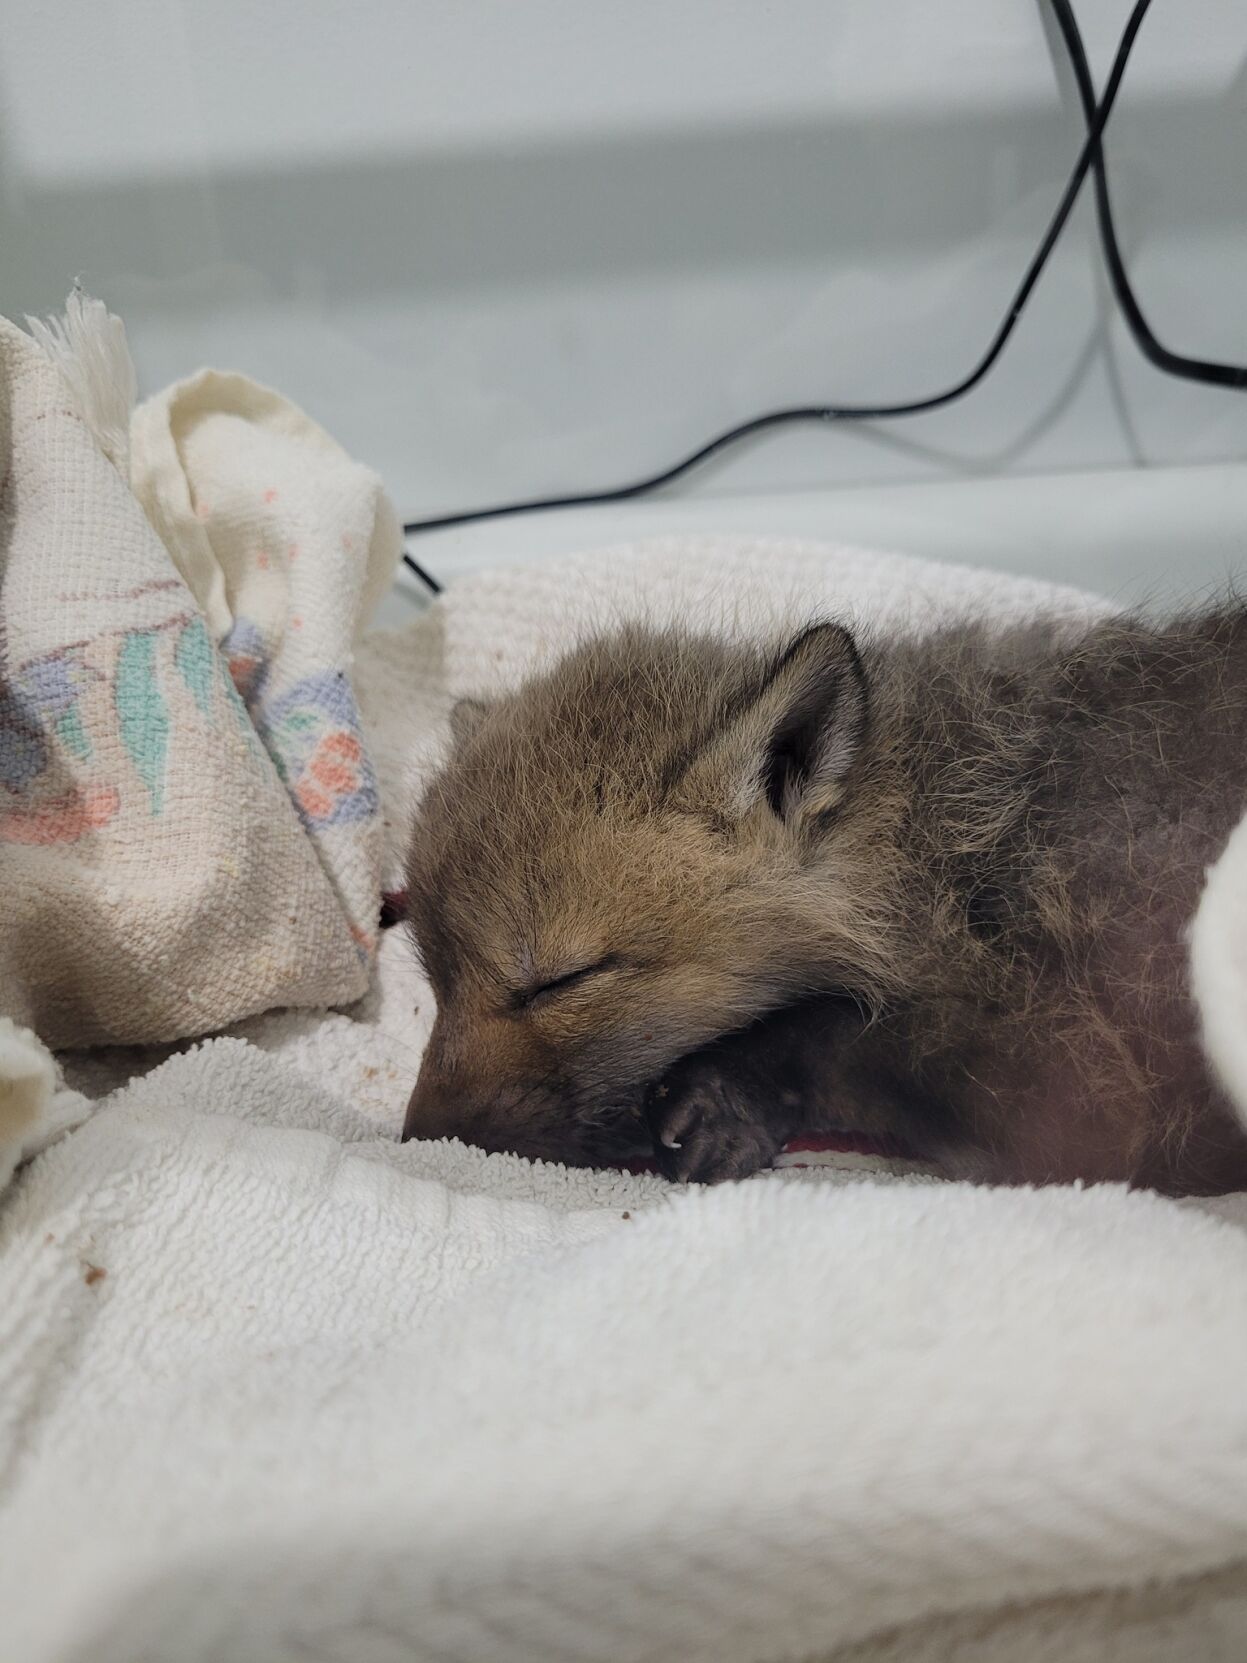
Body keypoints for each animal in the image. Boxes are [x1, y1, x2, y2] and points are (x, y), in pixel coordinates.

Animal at [401, 602, 1247, 1196]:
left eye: (561, 981)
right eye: (436, 981)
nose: (415, 1137)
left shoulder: (1089, 1075)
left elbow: (845, 1029)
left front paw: (728, 1093)